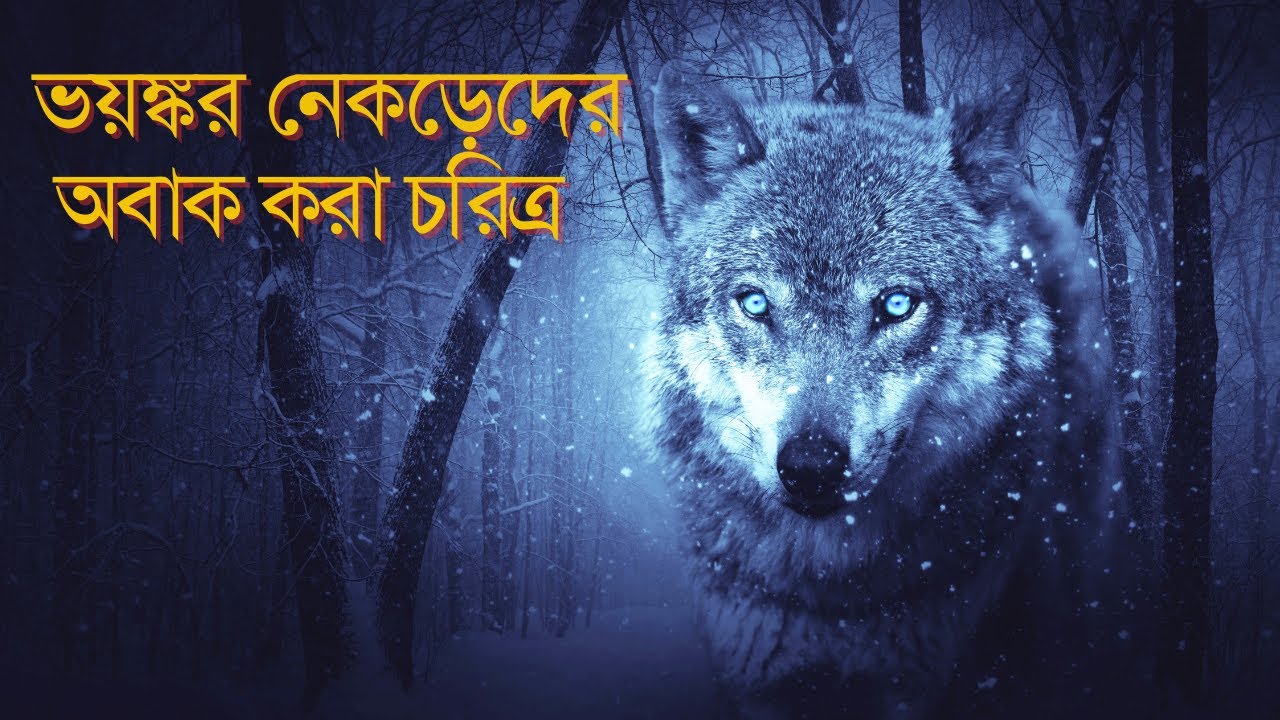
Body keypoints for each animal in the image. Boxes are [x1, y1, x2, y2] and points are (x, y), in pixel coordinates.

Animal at [644, 66, 1138, 719]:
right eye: (754, 303)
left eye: (897, 304)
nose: (811, 466)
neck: (832, 595)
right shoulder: (757, 682)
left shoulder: (918, 681)